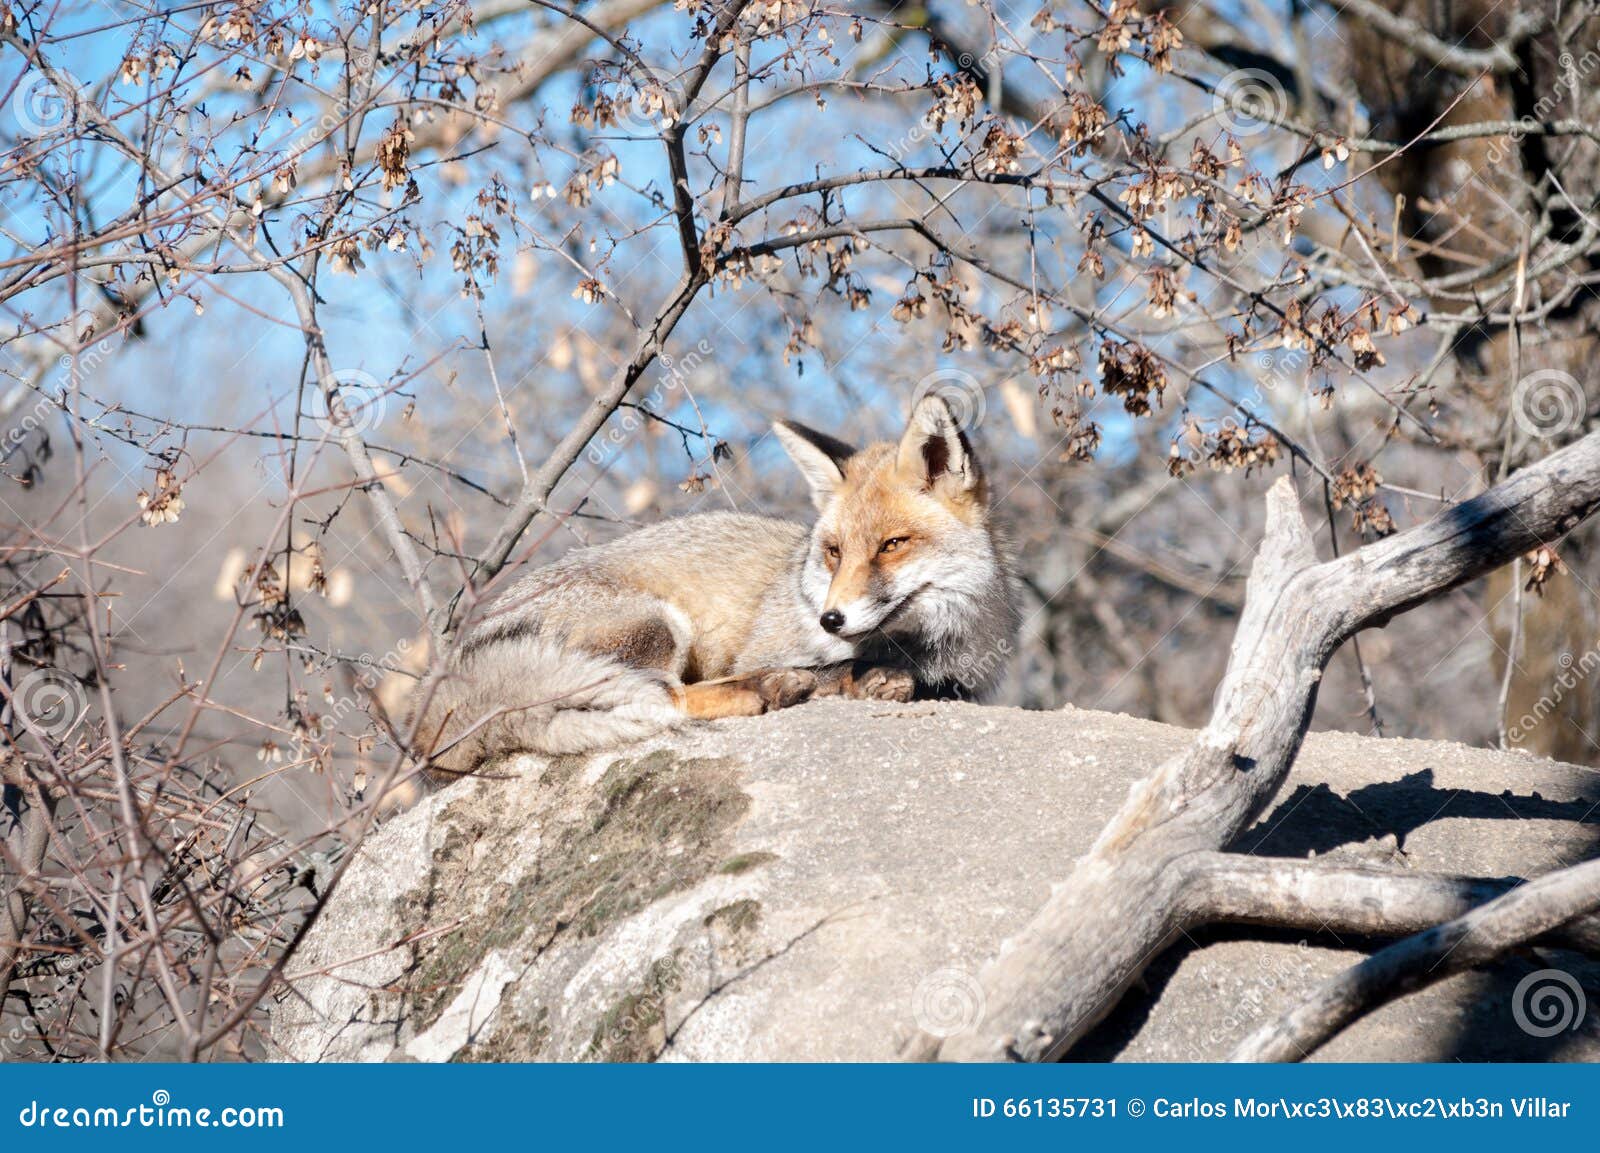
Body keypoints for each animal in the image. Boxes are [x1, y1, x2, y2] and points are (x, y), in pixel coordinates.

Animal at [414, 394, 1019, 777]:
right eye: (835, 552)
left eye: (892, 544)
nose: (830, 618)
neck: (918, 650)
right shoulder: (773, 646)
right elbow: (835, 668)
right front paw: (850, 678)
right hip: (657, 626)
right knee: (669, 698)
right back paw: (771, 689)